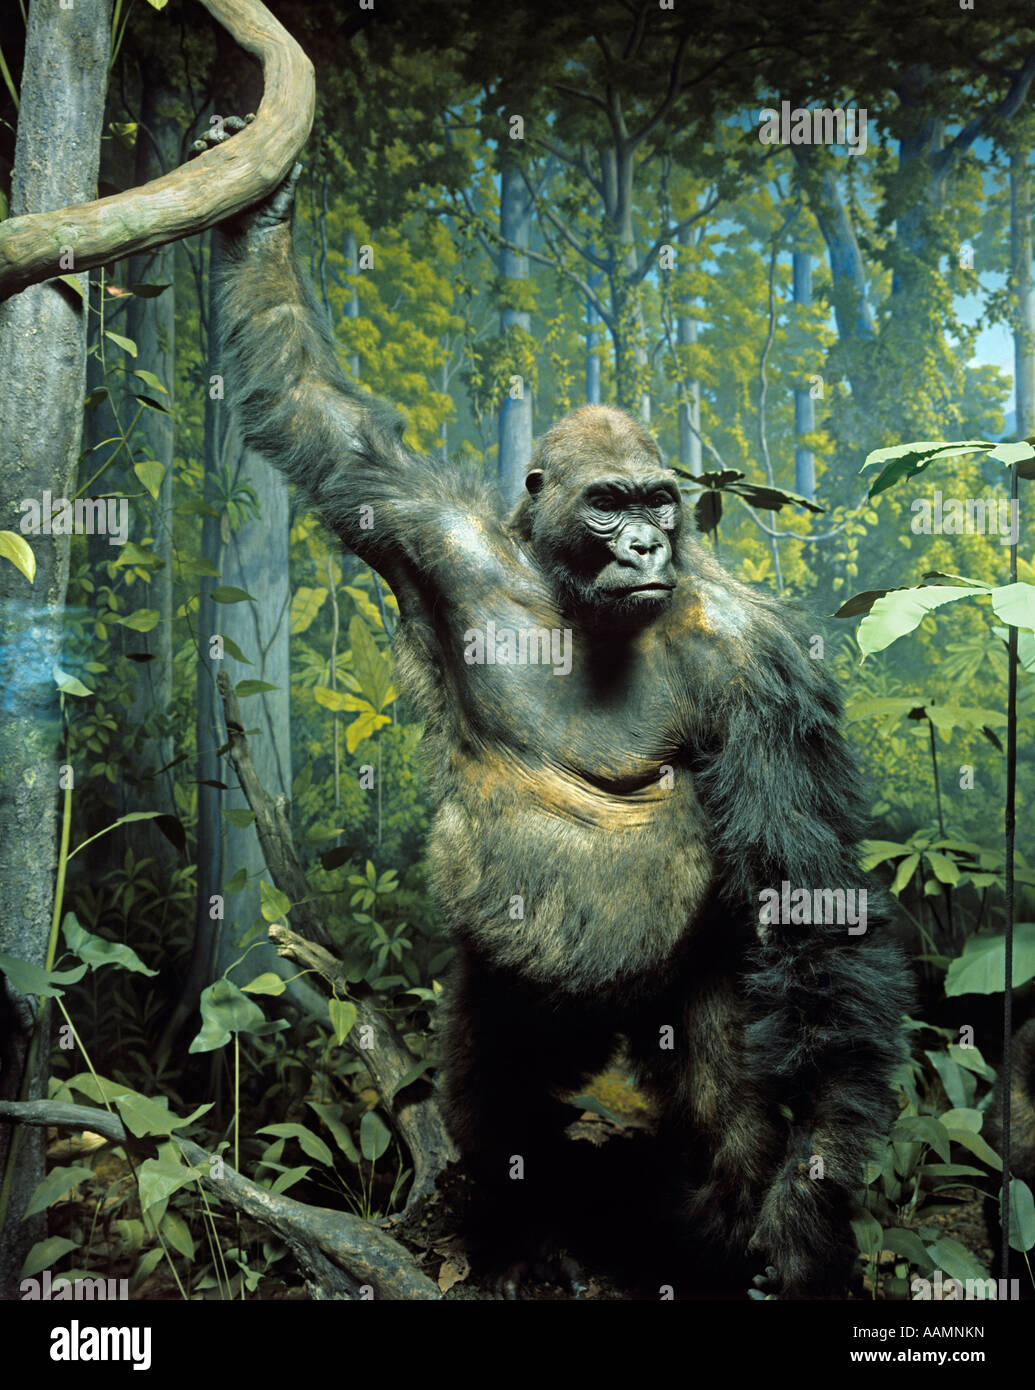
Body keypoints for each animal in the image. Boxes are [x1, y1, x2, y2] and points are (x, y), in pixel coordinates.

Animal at [204, 139, 911, 1299]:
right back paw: (516, 1242)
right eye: (609, 504)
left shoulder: (761, 659)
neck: (574, 597)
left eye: (660, 501)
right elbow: (321, 420)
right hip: (511, 991)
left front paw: (809, 1197)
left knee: (722, 1100)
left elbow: (806, 892)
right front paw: (260, 228)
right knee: (499, 1096)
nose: (649, 547)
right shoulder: (431, 530)